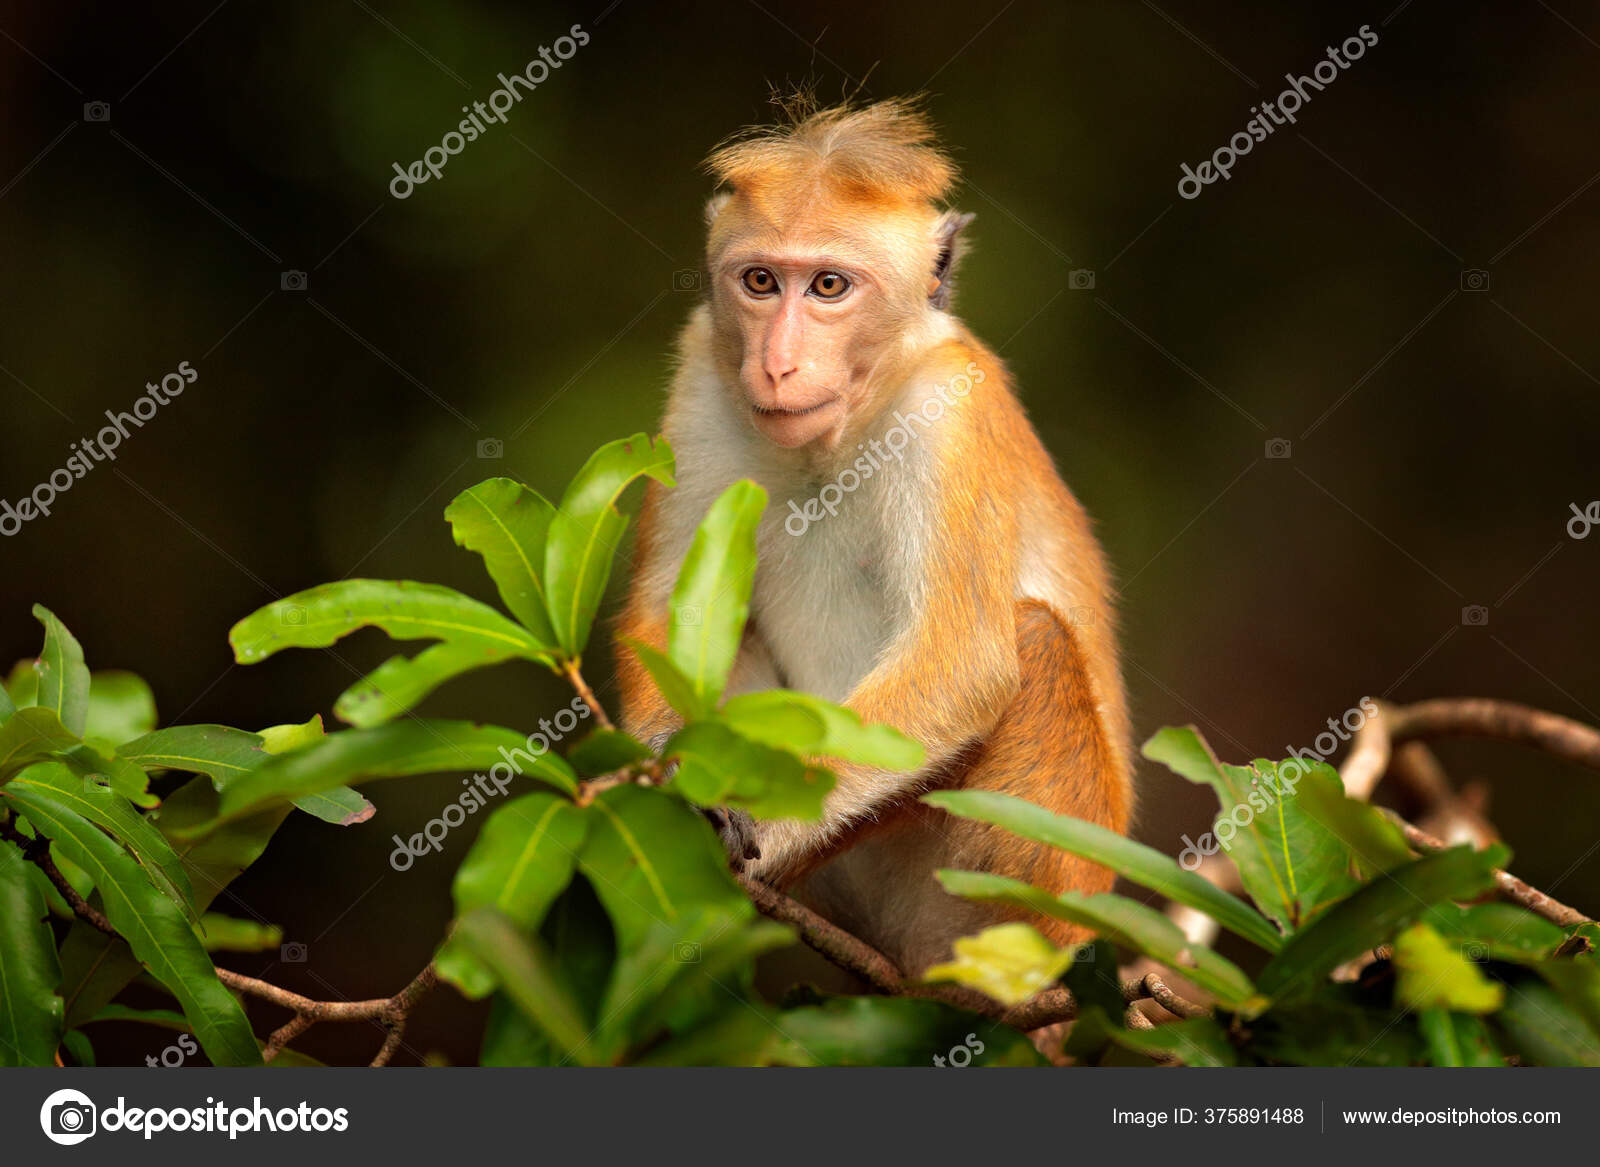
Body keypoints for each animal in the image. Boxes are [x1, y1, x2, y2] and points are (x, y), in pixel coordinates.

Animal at [615, 98, 1131, 975]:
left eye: (829, 286)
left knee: (1034, 637)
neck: (839, 437)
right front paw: (664, 775)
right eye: (760, 281)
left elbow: (960, 665)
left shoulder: (951, 409)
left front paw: (735, 823)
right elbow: (659, 613)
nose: (777, 363)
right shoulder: (701, 378)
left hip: (1039, 883)